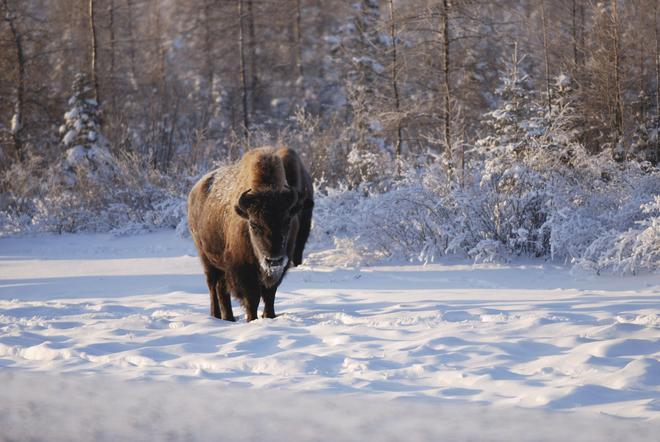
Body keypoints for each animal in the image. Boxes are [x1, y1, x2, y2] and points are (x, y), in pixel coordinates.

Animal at [188, 147, 314, 322]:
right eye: (253, 224)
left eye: (287, 221)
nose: (273, 260)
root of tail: (195, 190)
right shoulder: (243, 271)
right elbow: (252, 298)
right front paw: (252, 320)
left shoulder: (279, 269)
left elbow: (270, 295)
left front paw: (269, 316)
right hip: (206, 258)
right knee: (213, 286)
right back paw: (216, 316)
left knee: (221, 288)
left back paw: (229, 318)